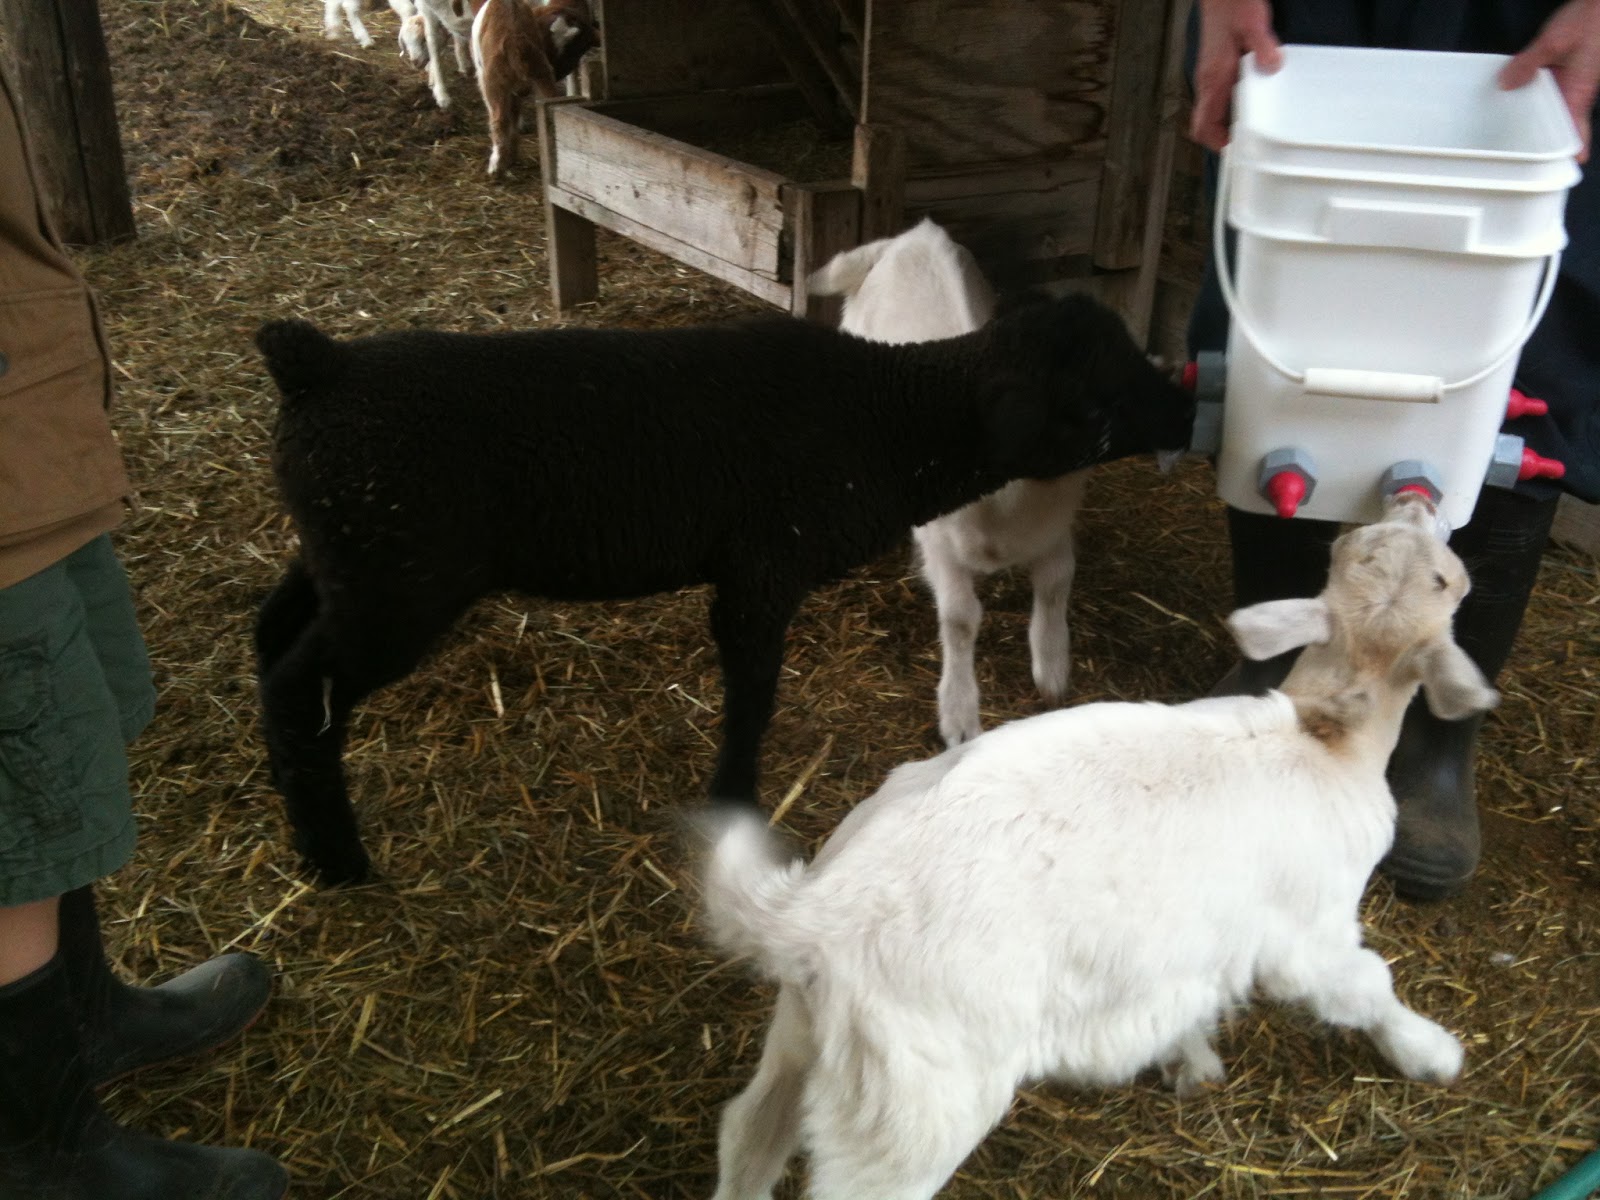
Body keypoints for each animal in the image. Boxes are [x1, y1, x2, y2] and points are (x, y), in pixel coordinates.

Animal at [251, 295, 1193, 885]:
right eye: (1094, 404)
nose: (1189, 412)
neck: (888, 419)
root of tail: (316, 368)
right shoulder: (759, 570)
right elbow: (753, 699)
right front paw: (736, 807)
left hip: (346, 556)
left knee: (271, 635)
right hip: (399, 578)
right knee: (303, 682)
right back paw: (337, 862)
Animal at [472, 0, 600, 176]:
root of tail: (517, 42)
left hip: (494, 82)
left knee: (499, 119)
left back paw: (495, 167)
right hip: (543, 76)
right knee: (550, 111)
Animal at [701, 490, 1494, 1200]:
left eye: (1352, 547)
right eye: (1448, 580)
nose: (1419, 502)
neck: (1327, 735)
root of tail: (821, 912)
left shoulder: (1197, 938)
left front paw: (1190, 1059)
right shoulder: (1308, 934)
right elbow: (1366, 988)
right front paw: (1431, 1053)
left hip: (810, 1033)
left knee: (749, 1134)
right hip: (918, 1097)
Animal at [810, 219, 1092, 746]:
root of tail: (913, 236)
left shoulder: (1054, 527)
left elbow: (1057, 581)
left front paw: (1052, 669)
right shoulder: (940, 541)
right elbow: (961, 618)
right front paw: (960, 717)